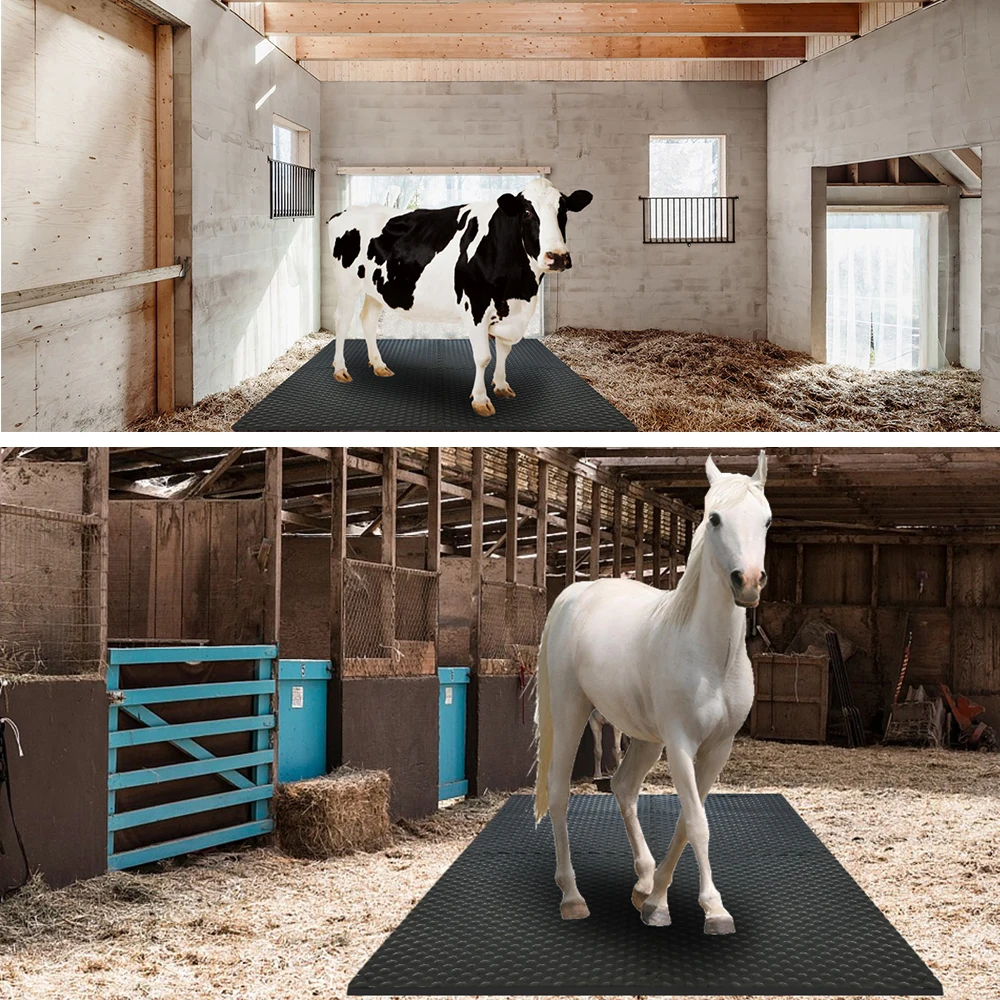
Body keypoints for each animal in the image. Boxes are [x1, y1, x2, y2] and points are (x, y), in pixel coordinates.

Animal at [534, 452, 770, 935]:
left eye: (768, 521)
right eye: (714, 518)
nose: (749, 582)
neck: (710, 655)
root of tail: (576, 593)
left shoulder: (718, 748)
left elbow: (684, 821)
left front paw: (657, 898)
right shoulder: (680, 744)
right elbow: (697, 823)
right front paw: (709, 909)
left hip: (643, 737)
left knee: (623, 787)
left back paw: (642, 882)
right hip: (571, 712)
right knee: (560, 791)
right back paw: (572, 896)